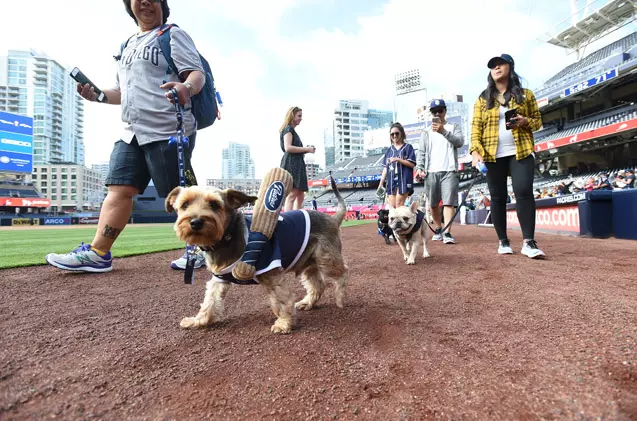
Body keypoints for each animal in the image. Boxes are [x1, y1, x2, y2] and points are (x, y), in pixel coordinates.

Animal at [165, 176, 348, 334]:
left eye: (214, 204)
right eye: (185, 204)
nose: (195, 222)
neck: (226, 237)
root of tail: (332, 218)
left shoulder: (271, 274)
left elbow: (282, 300)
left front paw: (284, 323)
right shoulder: (219, 278)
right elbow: (210, 301)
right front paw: (198, 321)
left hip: (326, 259)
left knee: (343, 272)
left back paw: (340, 298)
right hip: (308, 263)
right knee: (318, 284)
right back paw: (307, 302)